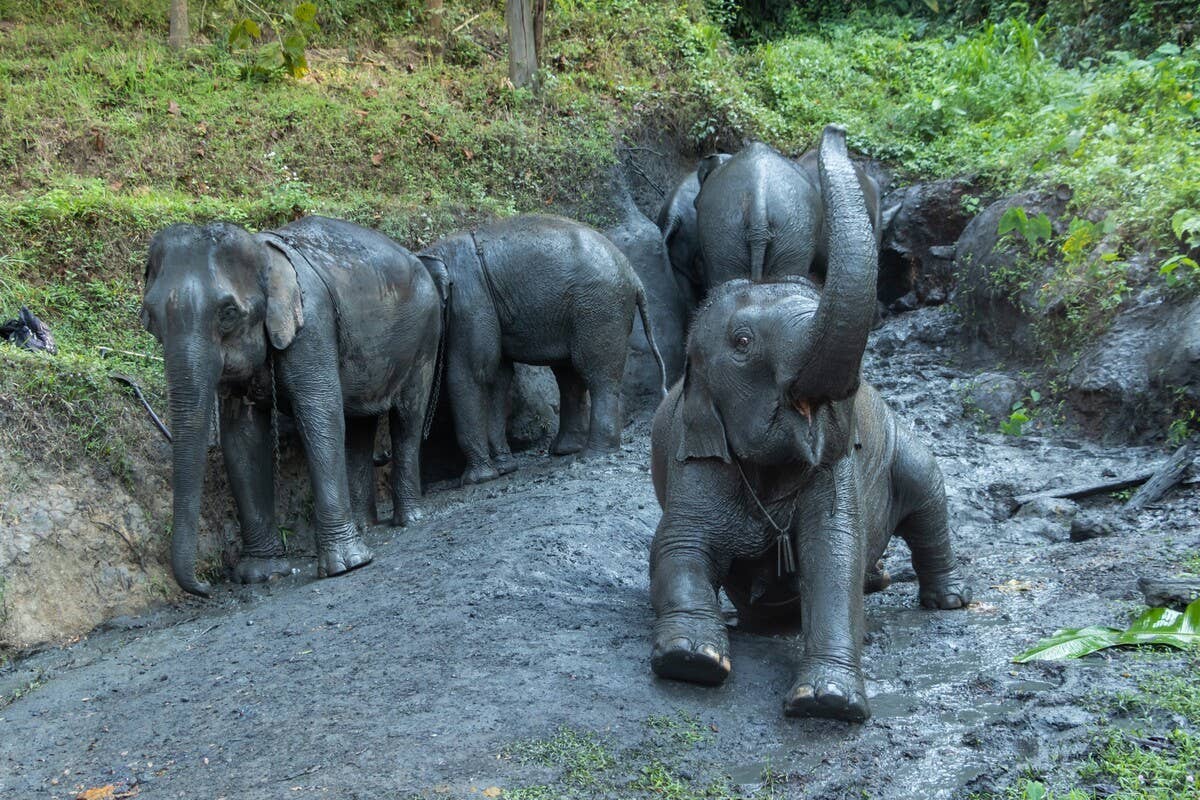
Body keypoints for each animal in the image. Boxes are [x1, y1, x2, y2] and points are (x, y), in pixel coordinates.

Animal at [141, 215, 444, 597]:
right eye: (150, 318)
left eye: (228, 313)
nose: (206, 587)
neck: (261, 252)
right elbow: (242, 439)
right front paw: (261, 575)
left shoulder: (312, 325)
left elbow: (320, 415)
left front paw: (346, 566)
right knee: (359, 423)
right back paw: (365, 525)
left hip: (425, 335)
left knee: (407, 416)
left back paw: (409, 520)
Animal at [420, 214, 667, 486]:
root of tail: (634, 276)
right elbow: (498, 376)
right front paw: (504, 468)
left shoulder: (470, 302)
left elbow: (471, 374)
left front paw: (478, 479)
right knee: (569, 376)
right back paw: (565, 450)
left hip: (599, 308)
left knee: (596, 374)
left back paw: (593, 454)